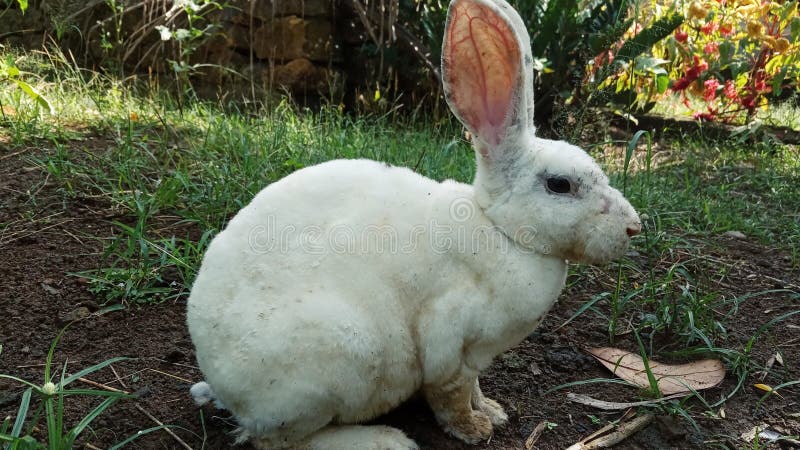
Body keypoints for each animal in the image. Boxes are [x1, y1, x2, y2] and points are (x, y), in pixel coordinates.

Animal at [186, 0, 641, 447]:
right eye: (560, 185)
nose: (633, 228)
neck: (501, 229)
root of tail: (225, 386)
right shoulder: (451, 343)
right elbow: (452, 396)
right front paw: (475, 429)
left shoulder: (476, 357)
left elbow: (476, 388)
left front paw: (493, 411)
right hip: (342, 356)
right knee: (279, 441)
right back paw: (385, 440)